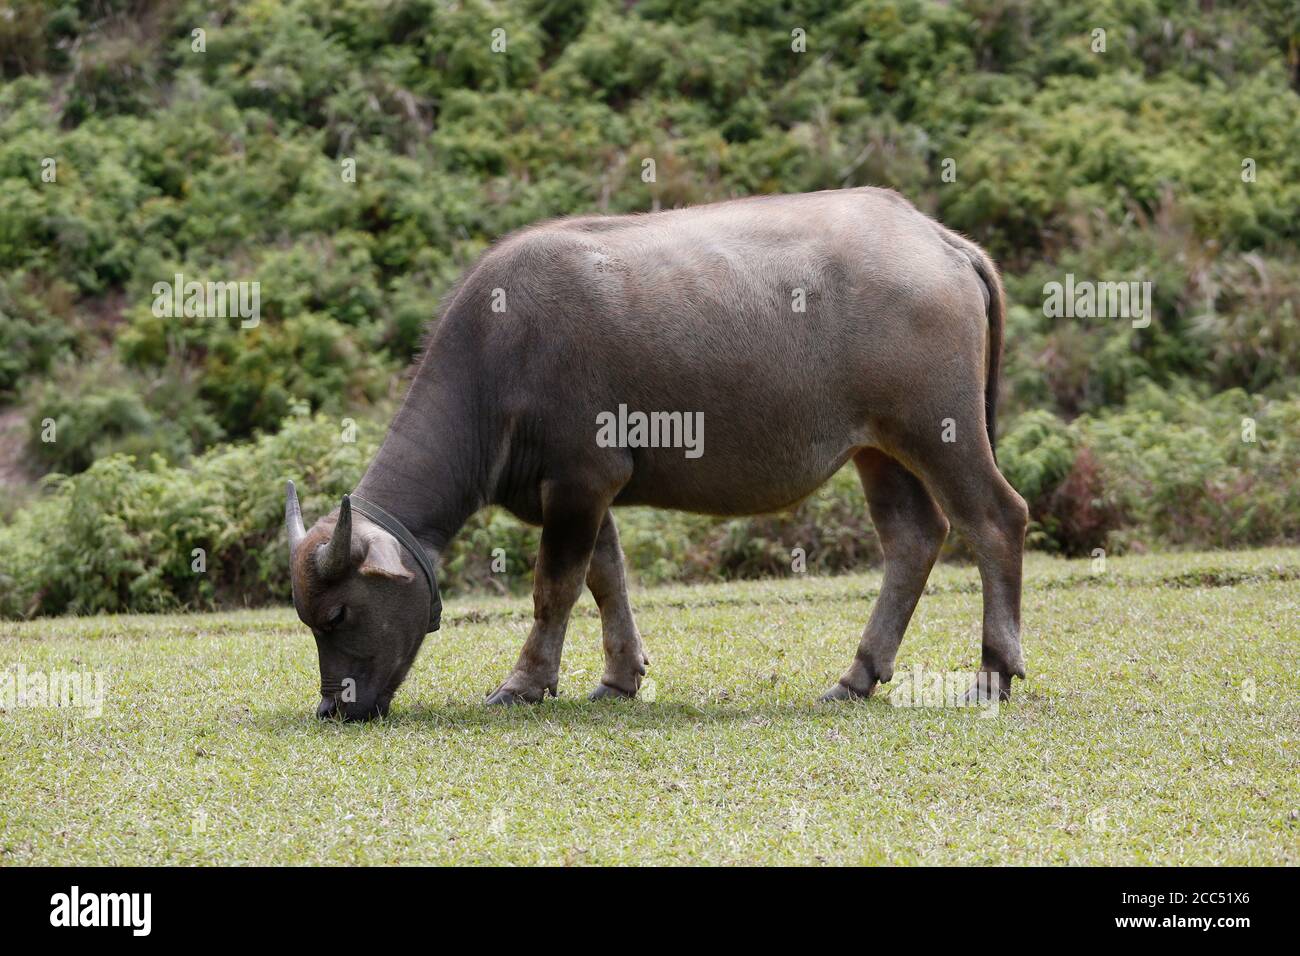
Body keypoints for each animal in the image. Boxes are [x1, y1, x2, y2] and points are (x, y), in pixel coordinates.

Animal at [284, 187, 1028, 719]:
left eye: (337, 616)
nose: (331, 708)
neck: (497, 360)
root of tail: (938, 238)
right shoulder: (584, 490)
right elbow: (606, 577)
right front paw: (618, 677)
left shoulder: (579, 481)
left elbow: (554, 587)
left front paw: (525, 682)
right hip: (880, 448)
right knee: (913, 538)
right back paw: (857, 677)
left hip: (939, 429)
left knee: (996, 520)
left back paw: (994, 670)